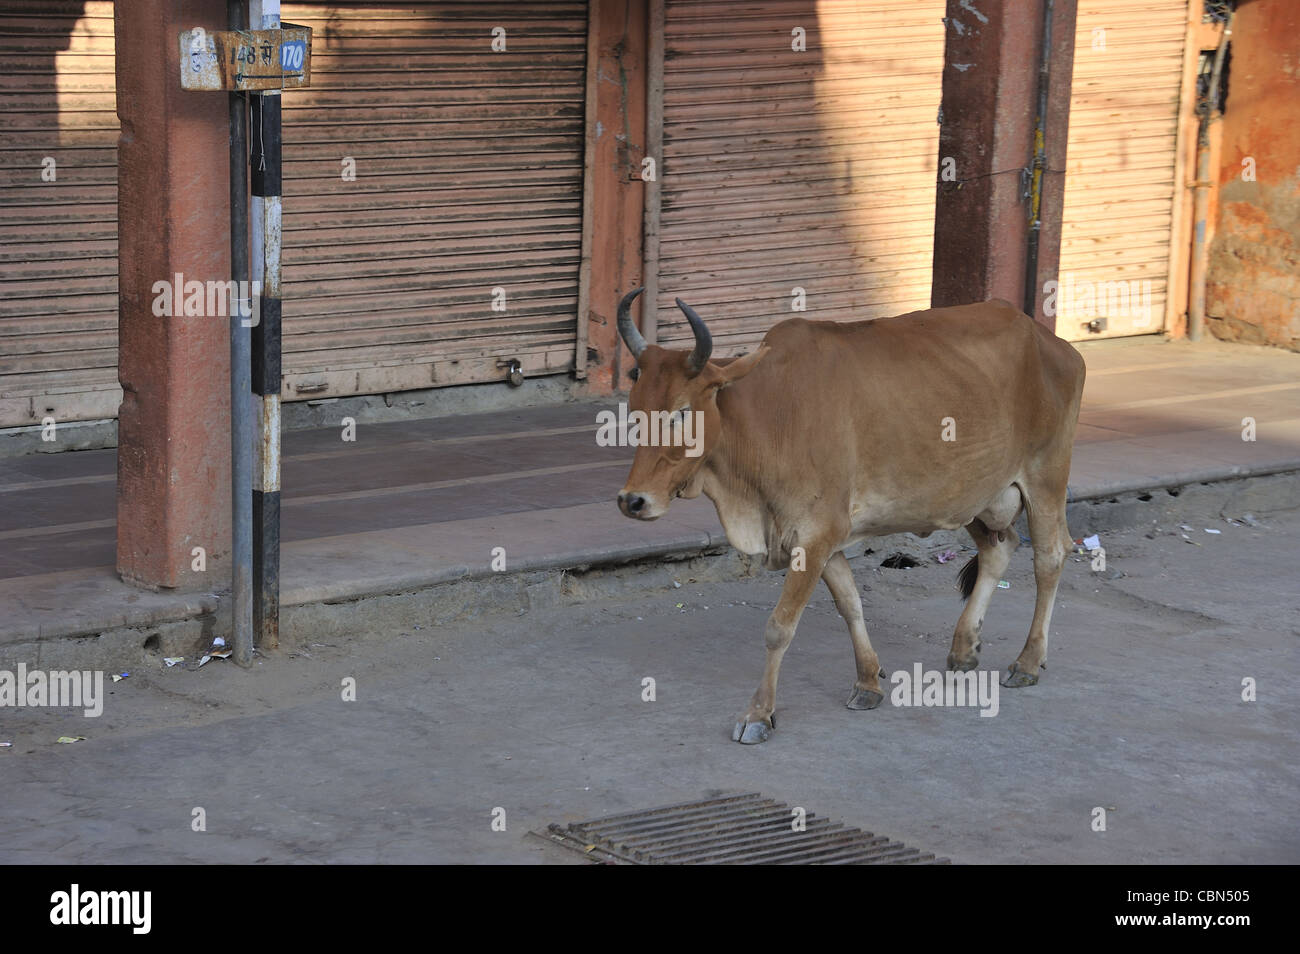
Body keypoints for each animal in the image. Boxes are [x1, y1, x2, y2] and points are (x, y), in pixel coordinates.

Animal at [614, 288, 1086, 743]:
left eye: (681, 412)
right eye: (634, 411)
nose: (632, 501)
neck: (767, 417)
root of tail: (1051, 341)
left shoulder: (816, 534)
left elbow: (779, 627)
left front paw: (759, 714)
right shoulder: (822, 537)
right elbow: (851, 604)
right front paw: (868, 683)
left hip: (1045, 477)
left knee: (1049, 558)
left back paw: (1027, 662)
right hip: (972, 493)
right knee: (998, 550)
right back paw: (964, 650)